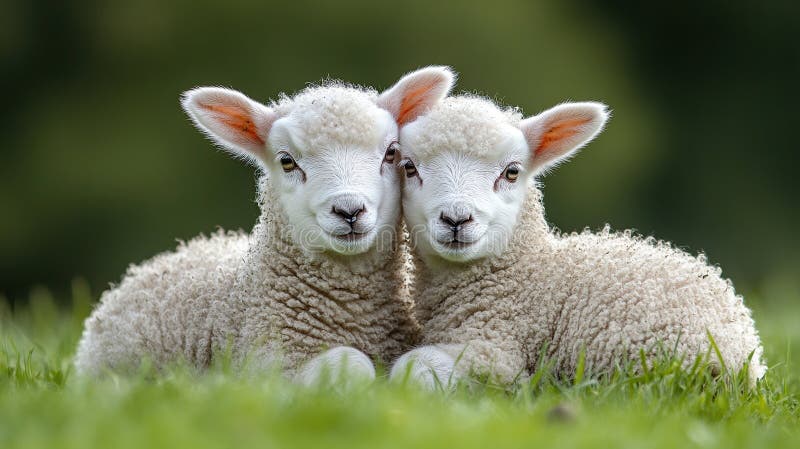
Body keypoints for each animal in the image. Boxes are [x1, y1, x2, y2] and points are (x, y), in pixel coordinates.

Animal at [389, 95, 766, 389]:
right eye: (409, 167)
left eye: (512, 172)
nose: (456, 219)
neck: (523, 276)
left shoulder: (497, 350)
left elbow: (413, 368)